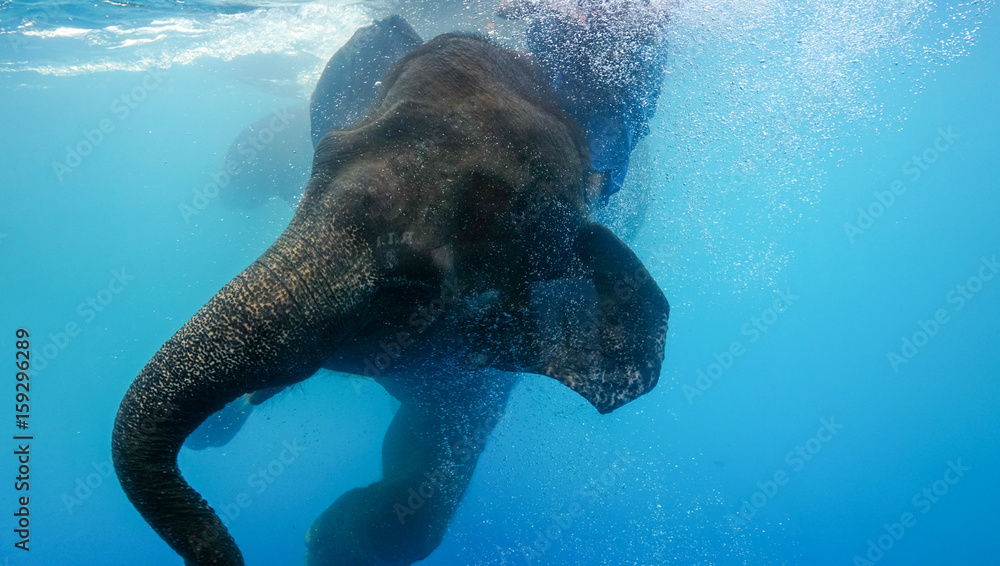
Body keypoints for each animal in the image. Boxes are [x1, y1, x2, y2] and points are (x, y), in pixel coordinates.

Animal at [112, 25, 669, 566]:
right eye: (327, 151)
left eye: (418, 281)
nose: (221, 551)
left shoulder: (482, 368)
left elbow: (435, 460)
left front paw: (325, 541)